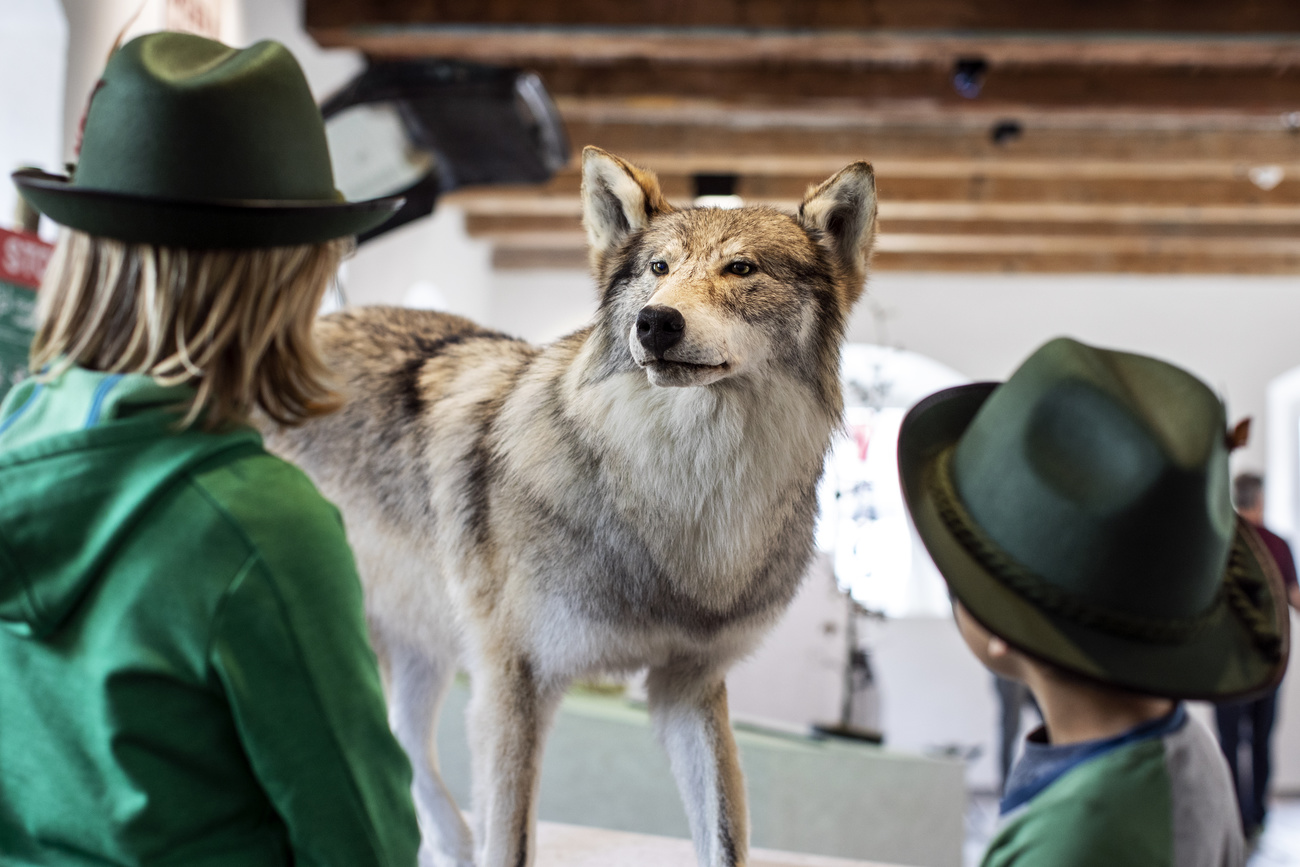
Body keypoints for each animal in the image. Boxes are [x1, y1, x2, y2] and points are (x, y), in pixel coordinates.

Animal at [264, 146, 877, 867]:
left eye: (742, 268)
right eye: (658, 269)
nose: (656, 321)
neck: (686, 490)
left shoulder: (687, 685)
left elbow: (724, 838)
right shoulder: (515, 682)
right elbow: (510, 842)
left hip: (423, 652)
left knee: (405, 742)